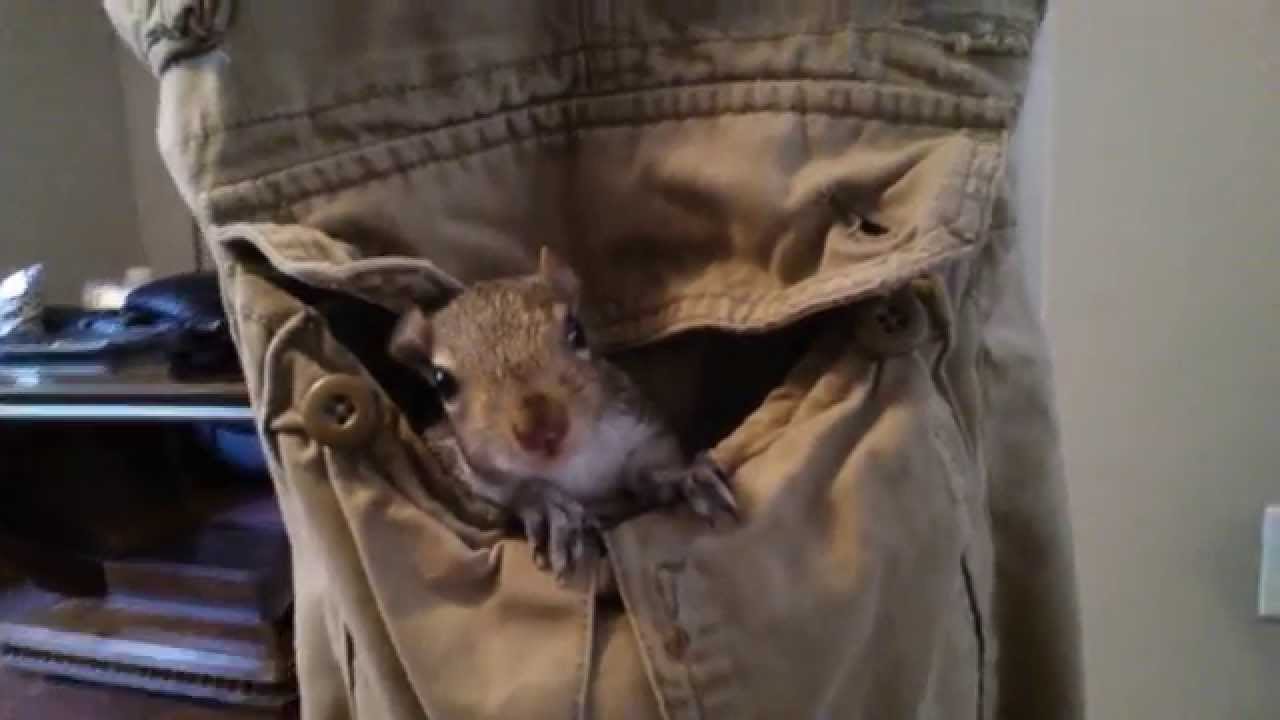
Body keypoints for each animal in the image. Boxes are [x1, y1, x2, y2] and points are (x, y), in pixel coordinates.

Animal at [390, 247, 737, 581]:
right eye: (442, 382)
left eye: (576, 331)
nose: (541, 428)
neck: (573, 467)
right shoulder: (447, 452)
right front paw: (545, 504)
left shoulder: (641, 424)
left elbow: (651, 464)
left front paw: (681, 477)